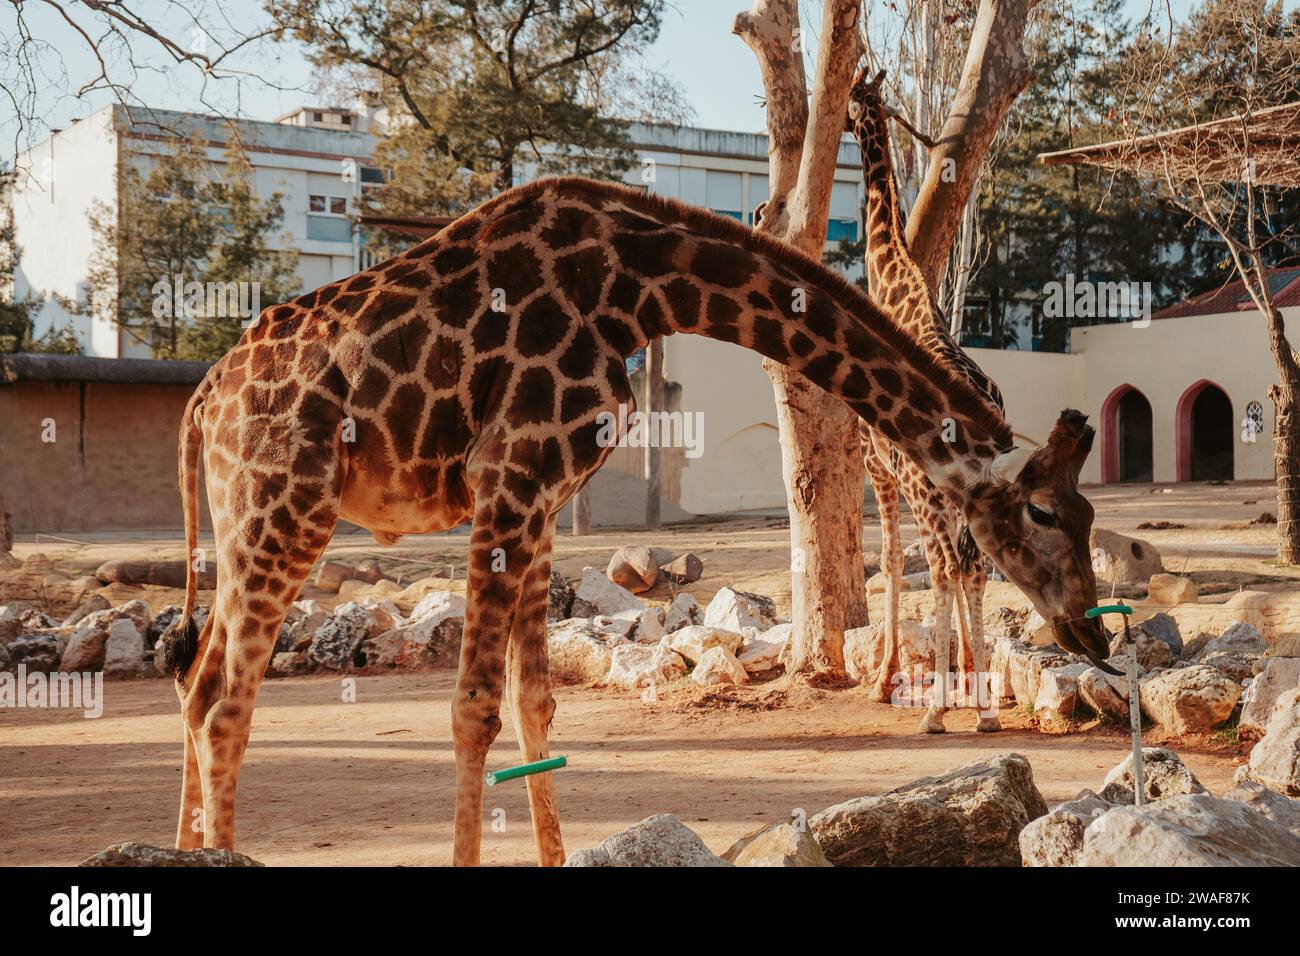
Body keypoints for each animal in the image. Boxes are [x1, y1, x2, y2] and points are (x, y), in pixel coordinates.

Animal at [159, 175, 1110, 867]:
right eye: (1043, 510)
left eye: (1090, 511)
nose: (1093, 634)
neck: (637, 289)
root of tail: (203, 398)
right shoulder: (507, 478)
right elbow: (473, 708)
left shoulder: (540, 497)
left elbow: (535, 701)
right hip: (285, 506)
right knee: (227, 703)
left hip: (249, 523)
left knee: (199, 685)